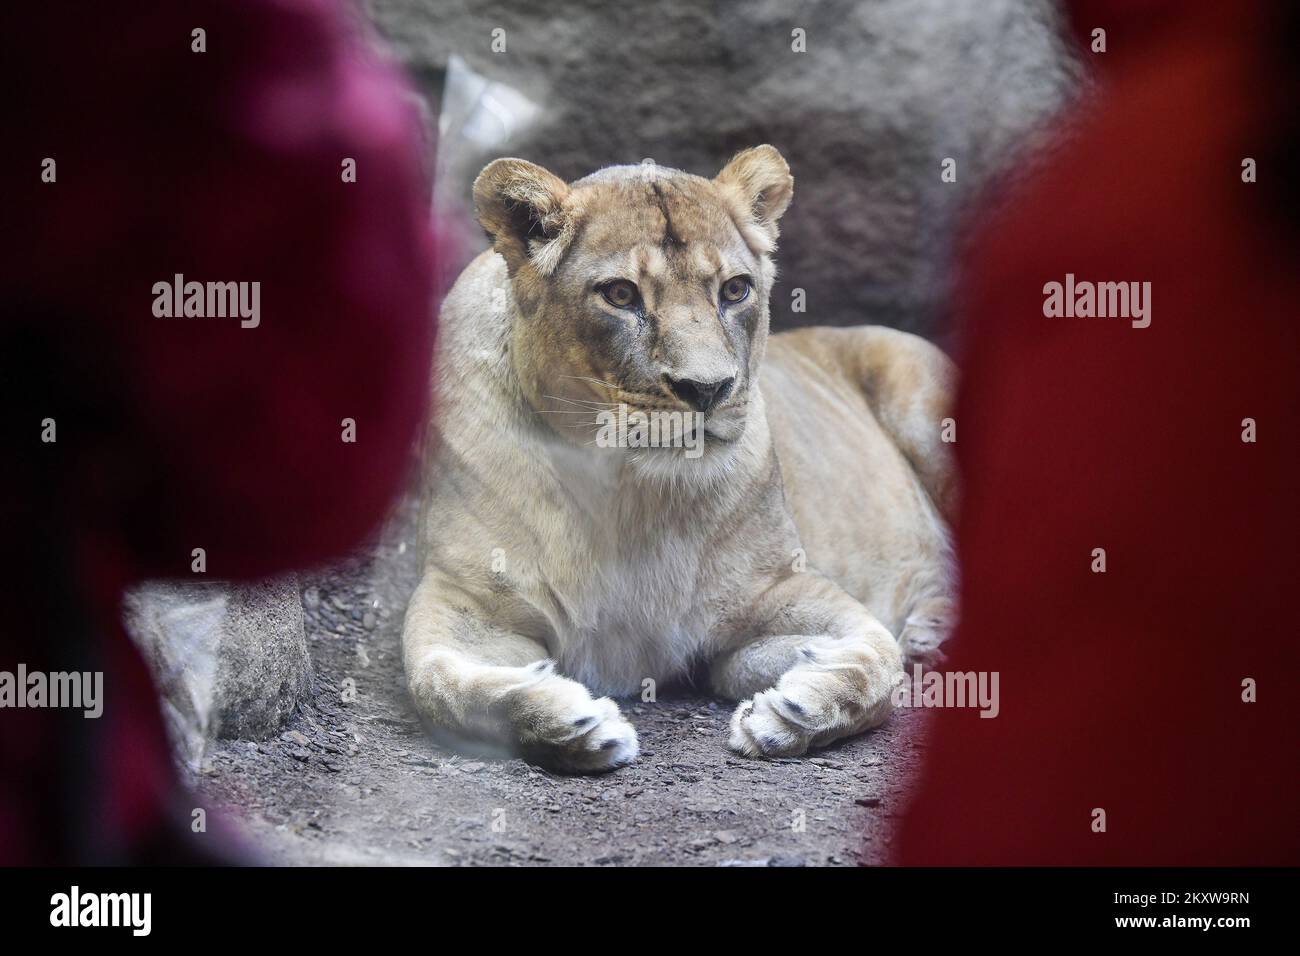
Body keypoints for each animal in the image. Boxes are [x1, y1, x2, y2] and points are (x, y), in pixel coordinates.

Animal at [401, 146, 956, 772]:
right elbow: (440, 685)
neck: (625, 492)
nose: (707, 389)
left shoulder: (779, 588)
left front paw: (793, 714)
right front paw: (574, 726)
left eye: (735, 290)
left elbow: (878, 661)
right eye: (620, 295)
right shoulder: (469, 600)